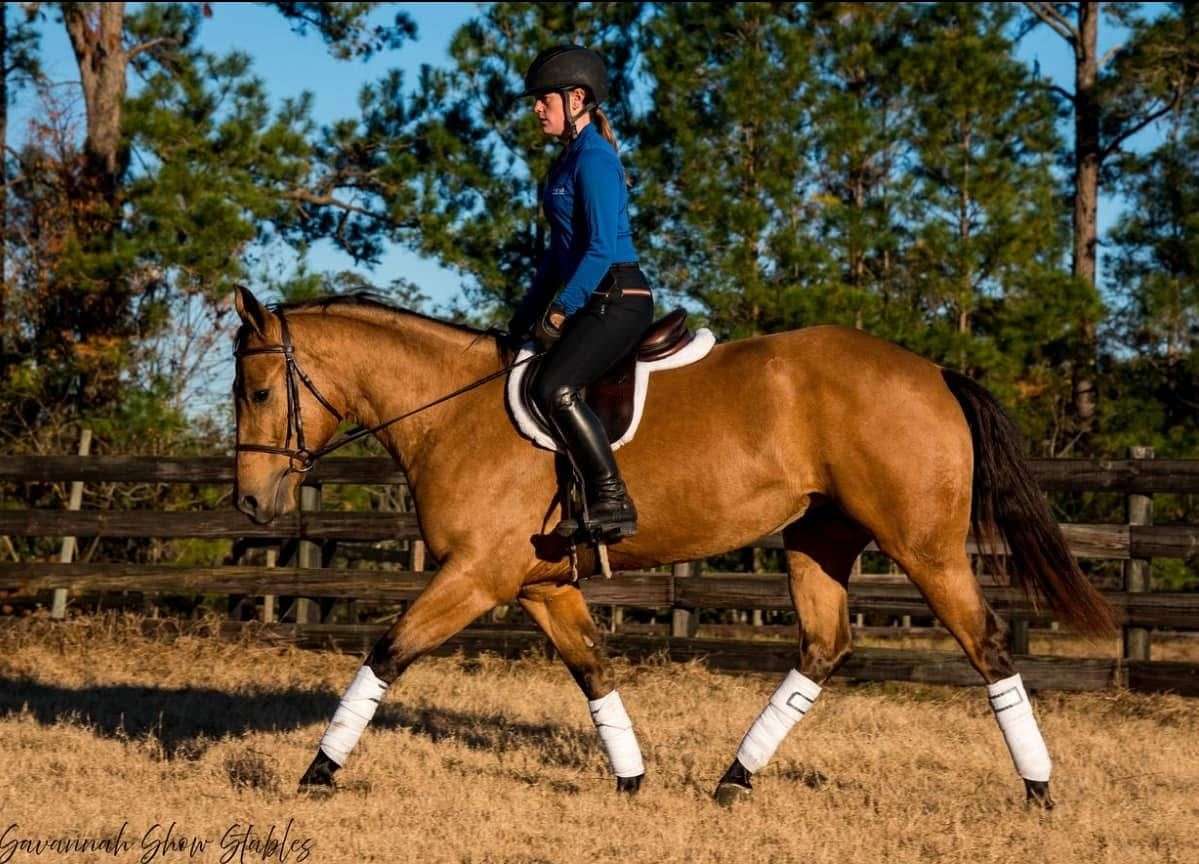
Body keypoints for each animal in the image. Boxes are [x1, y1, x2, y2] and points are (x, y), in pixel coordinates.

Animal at [230, 285, 1113, 808]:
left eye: (260, 391)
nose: (250, 502)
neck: (453, 409)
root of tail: (930, 371)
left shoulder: (476, 575)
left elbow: (387, 652)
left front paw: (315, 771)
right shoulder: (541, 584)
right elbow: (593, 669)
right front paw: (630, 780)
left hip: (923, 548)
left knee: (985, 644)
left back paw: (1037, 790)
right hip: (818, 539)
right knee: (822, 647)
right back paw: (733, 781)